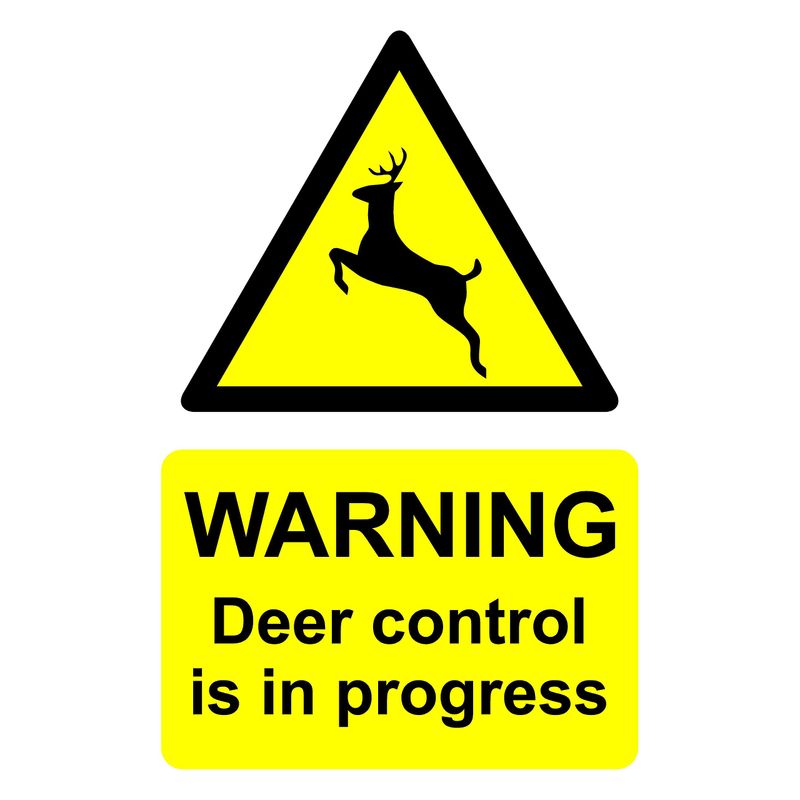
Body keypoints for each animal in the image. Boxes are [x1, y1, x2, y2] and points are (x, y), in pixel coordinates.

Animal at [329, 149, 486, 378]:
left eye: (377, 187)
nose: (355, 191)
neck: (379, 232)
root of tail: (464, 277)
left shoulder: (370, 268)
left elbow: (335, 252)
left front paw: (343, 285)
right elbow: (335, 252)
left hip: (448, 307)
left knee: (473, 333)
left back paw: (480, 368)